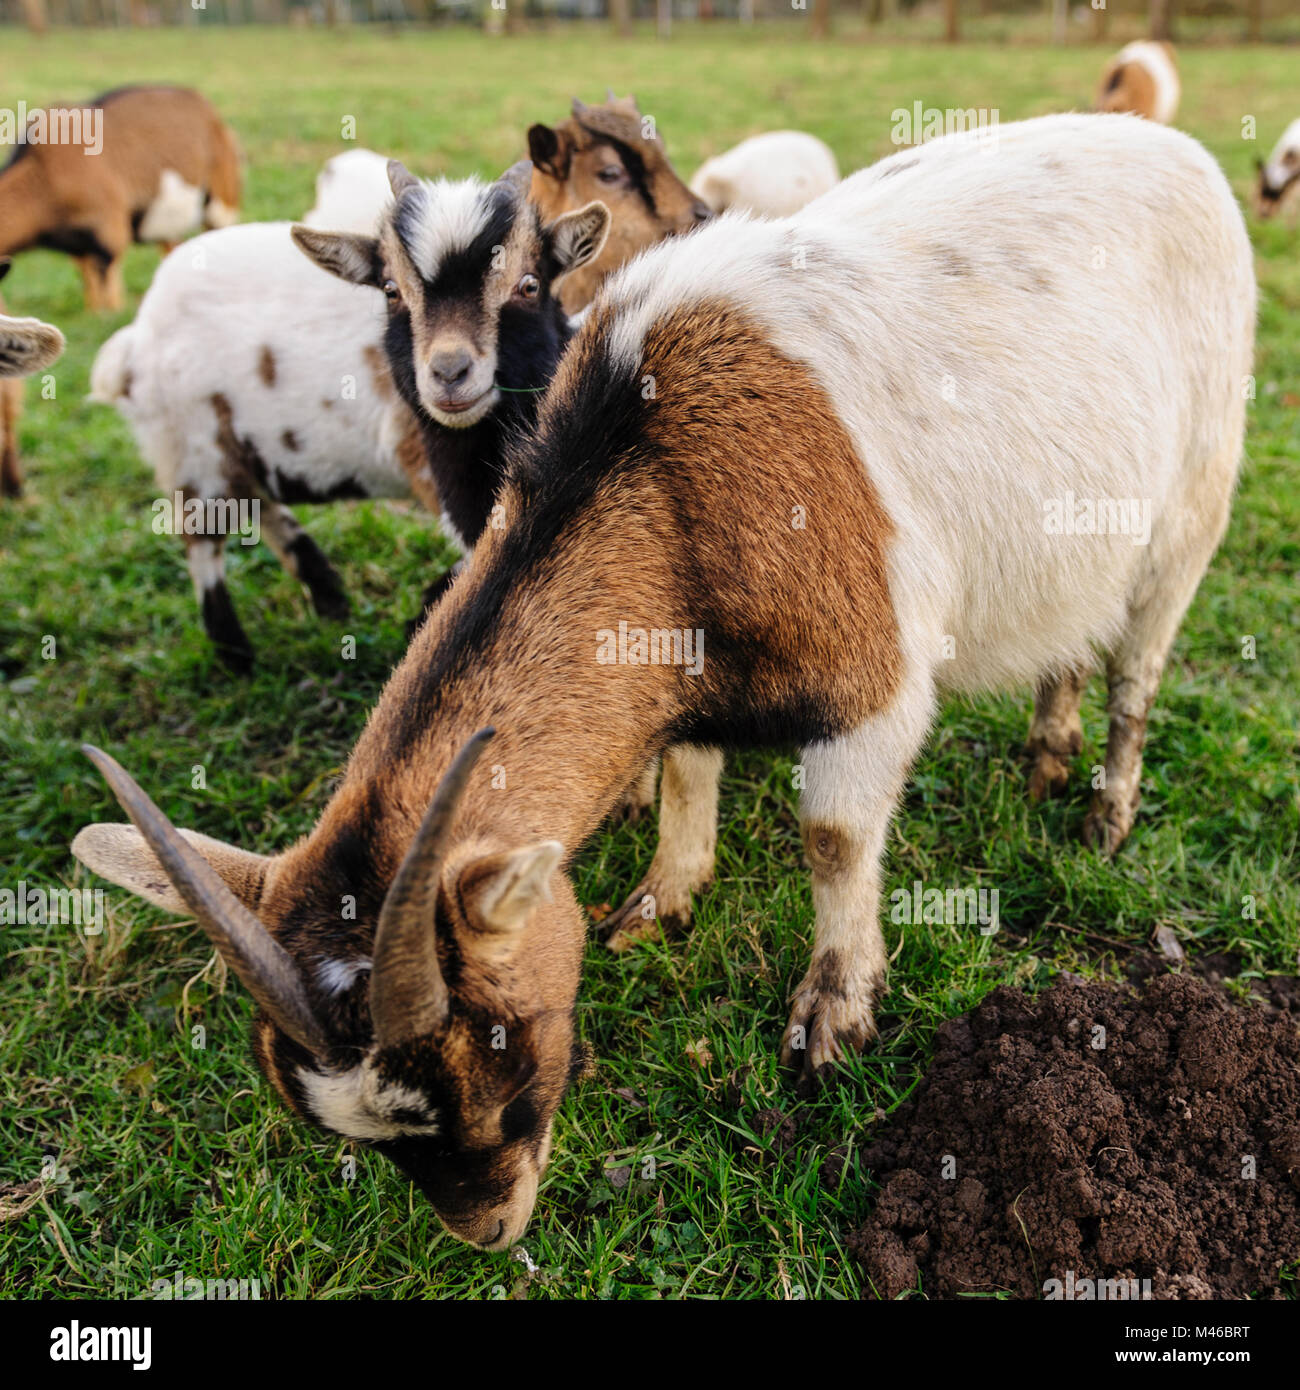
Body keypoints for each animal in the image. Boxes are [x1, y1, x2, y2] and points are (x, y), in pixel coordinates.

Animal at [0, 86, 241, 312]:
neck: (42, 175)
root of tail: (207, 108)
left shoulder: (110, 231)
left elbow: (110, 293)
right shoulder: (78, 246)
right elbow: (91, 288)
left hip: (222, 200)